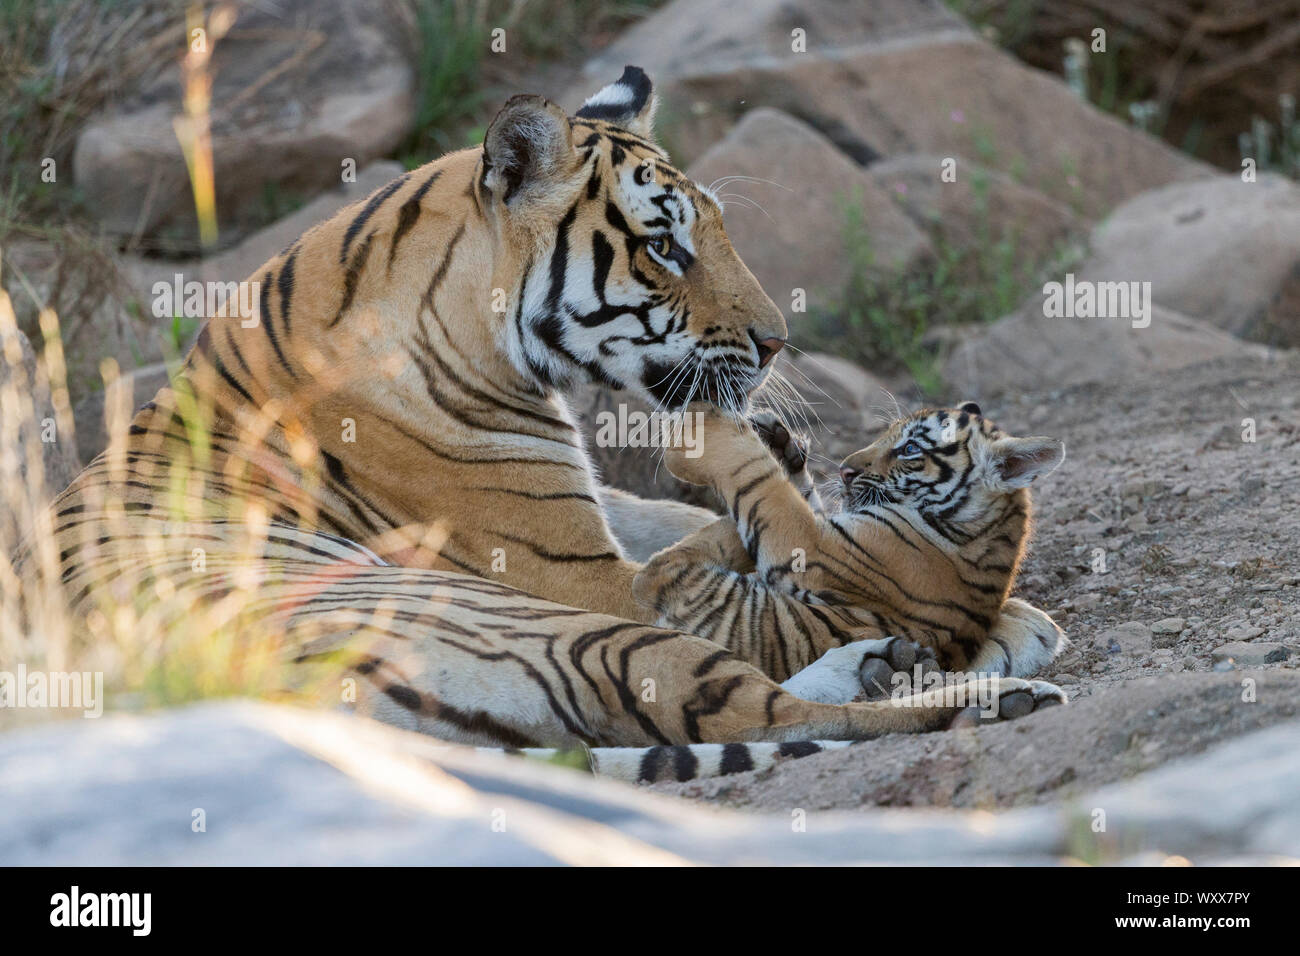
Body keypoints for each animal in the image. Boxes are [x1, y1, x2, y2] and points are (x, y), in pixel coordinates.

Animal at [633, 402, 1069, 697]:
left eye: (910, 449)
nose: (845, 469)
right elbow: (794, 495)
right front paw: (779, 441)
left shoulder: (812, 546)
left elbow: (761, 483)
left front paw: (710, 432)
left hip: (680, 582)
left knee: (662, 565)